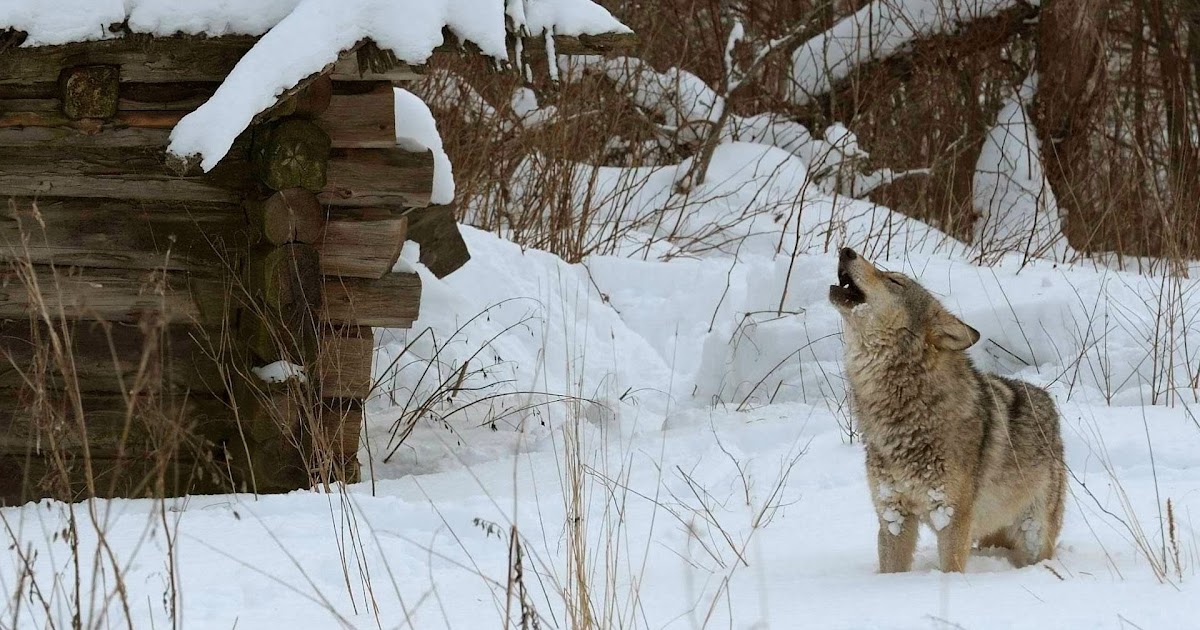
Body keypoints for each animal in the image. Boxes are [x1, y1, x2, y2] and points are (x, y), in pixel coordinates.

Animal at [828, 247, 1066, 573]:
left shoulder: (951, 516)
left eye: (894, 281)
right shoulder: (893, 515)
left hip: (1034, 532)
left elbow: (951, 569)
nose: (846, 250)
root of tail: (1047, 400)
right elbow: (891, 569)